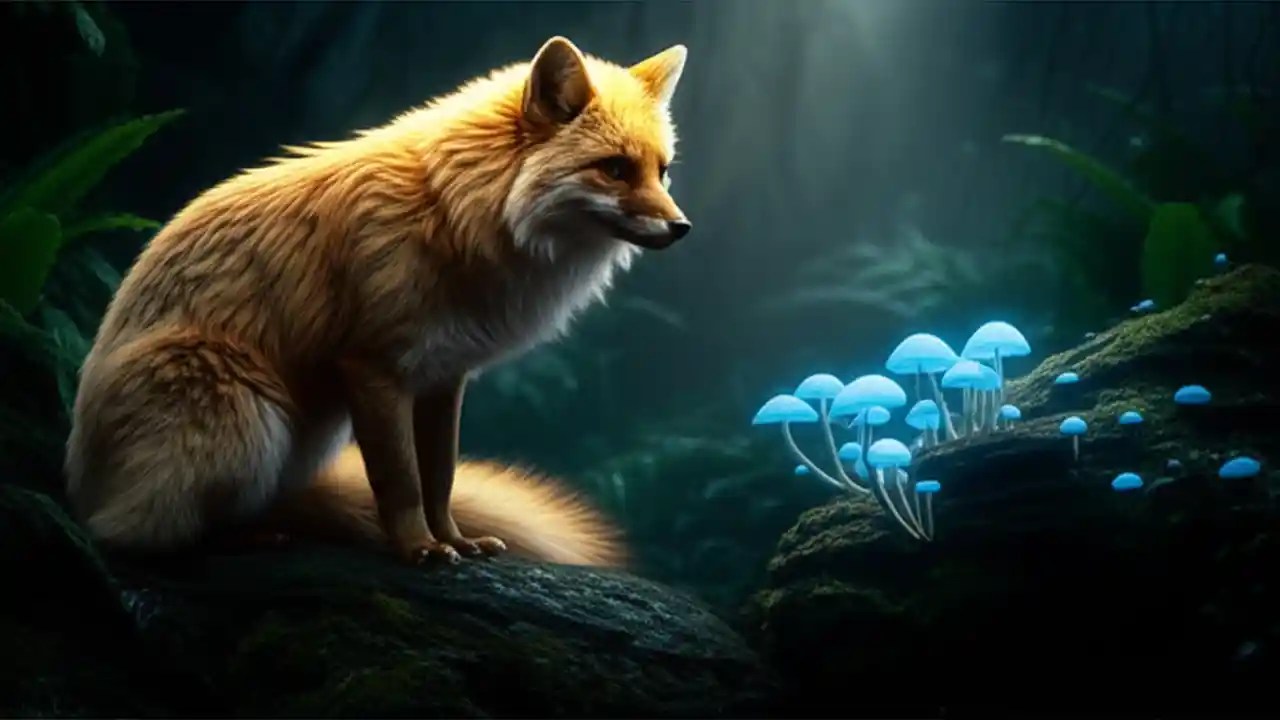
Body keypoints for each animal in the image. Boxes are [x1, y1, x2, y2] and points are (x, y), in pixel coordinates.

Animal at [63, 36, 691, 568]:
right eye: (615, 169)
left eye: (661, 172)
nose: (682, 228)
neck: (451, 214)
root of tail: (78, 481)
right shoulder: (372, 366)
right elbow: (400, 480)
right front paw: (418, 549)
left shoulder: (444, 376)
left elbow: (440, 480)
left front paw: (456, 540)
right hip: (243, 415)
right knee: (130, 535)